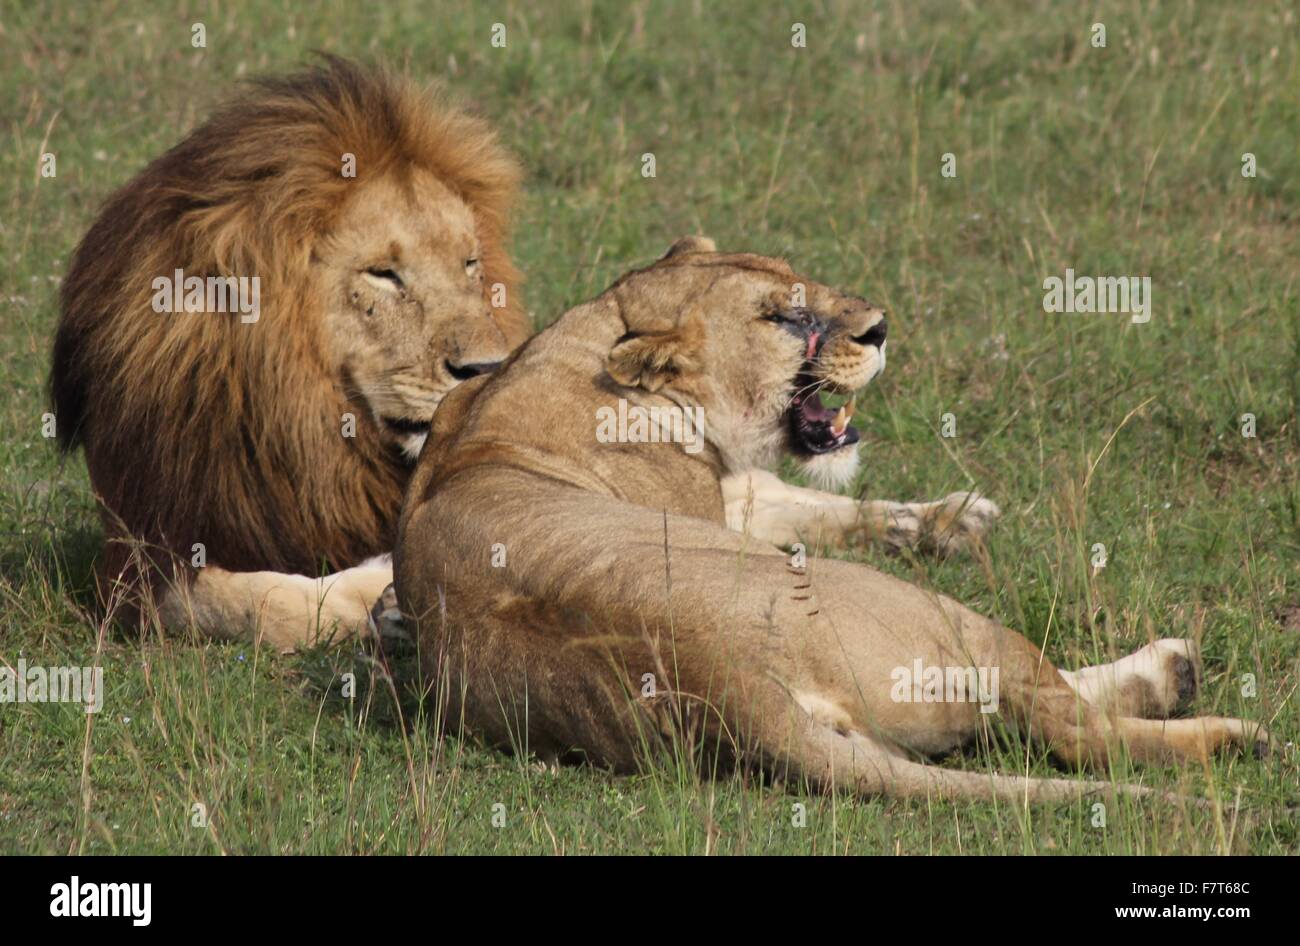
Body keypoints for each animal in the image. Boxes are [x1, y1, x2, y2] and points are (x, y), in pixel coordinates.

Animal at [50, 58, 996, 650]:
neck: (321, 433)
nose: (880, 327)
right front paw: (372, 597)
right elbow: (260, 603)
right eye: (384, 274)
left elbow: (776, 503)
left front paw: (936, 519)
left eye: (470, 265)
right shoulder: (142, 564)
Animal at [393, 237, 1269, 803]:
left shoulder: (733, 486)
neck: (593, 336)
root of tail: (731, 686)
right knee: (1070, 724)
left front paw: (950, 519)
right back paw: (1201, 700)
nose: (881, 327)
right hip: (937, 615)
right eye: (784, 319)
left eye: (801, 279)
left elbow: (813, 500)